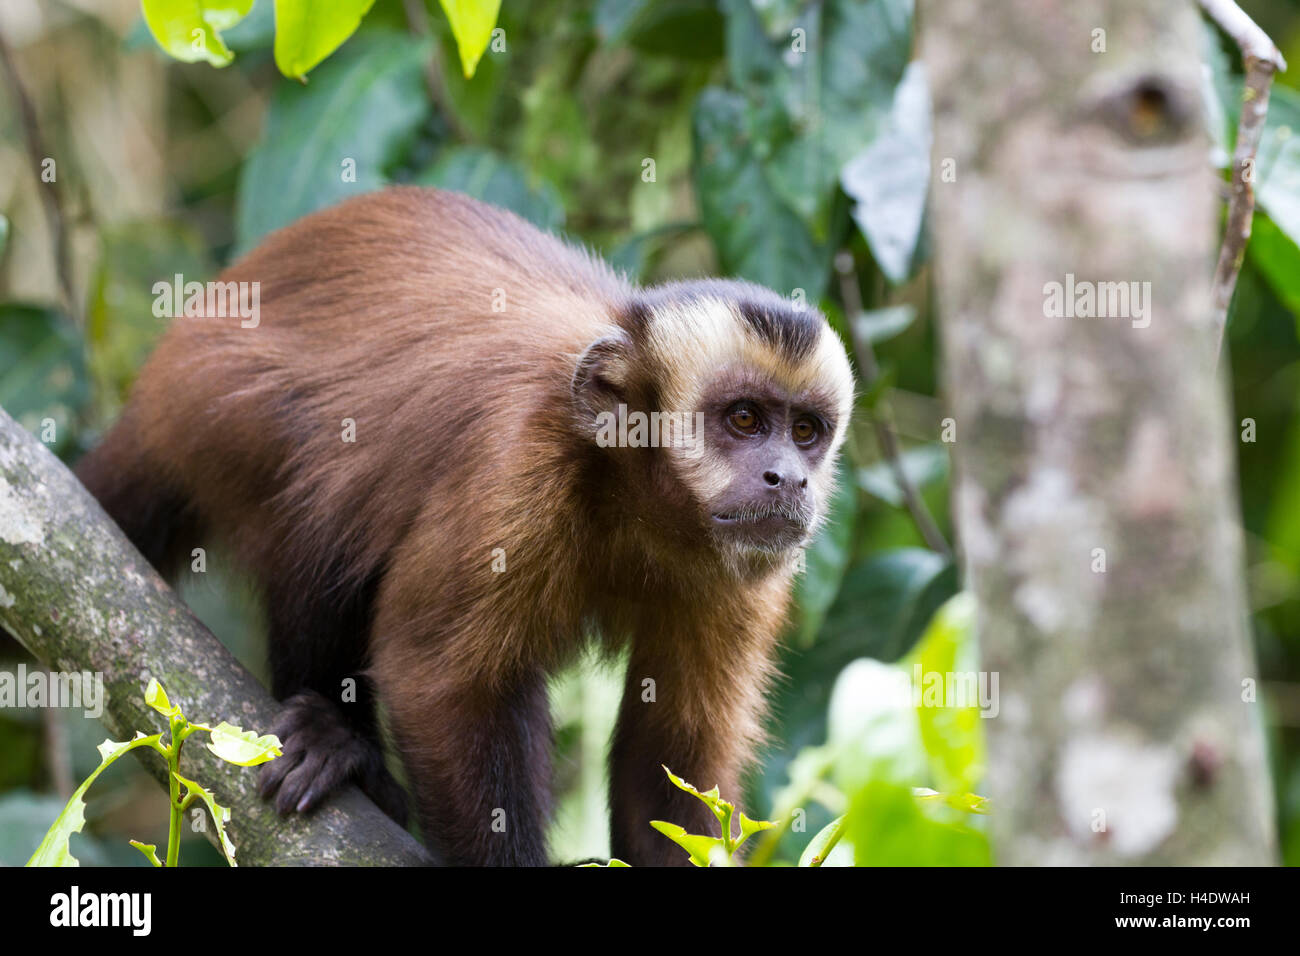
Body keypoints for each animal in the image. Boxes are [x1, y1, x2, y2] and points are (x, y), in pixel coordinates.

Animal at [74, 186, 855, 866]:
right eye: (744, 420)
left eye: (806, 432)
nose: (789, 479)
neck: (630, 492)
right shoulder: (515, 471)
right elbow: (441, 683)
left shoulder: (753, 569)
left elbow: (672, 753)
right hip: (206, 412)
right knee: (321, 490)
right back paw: (339, 739)